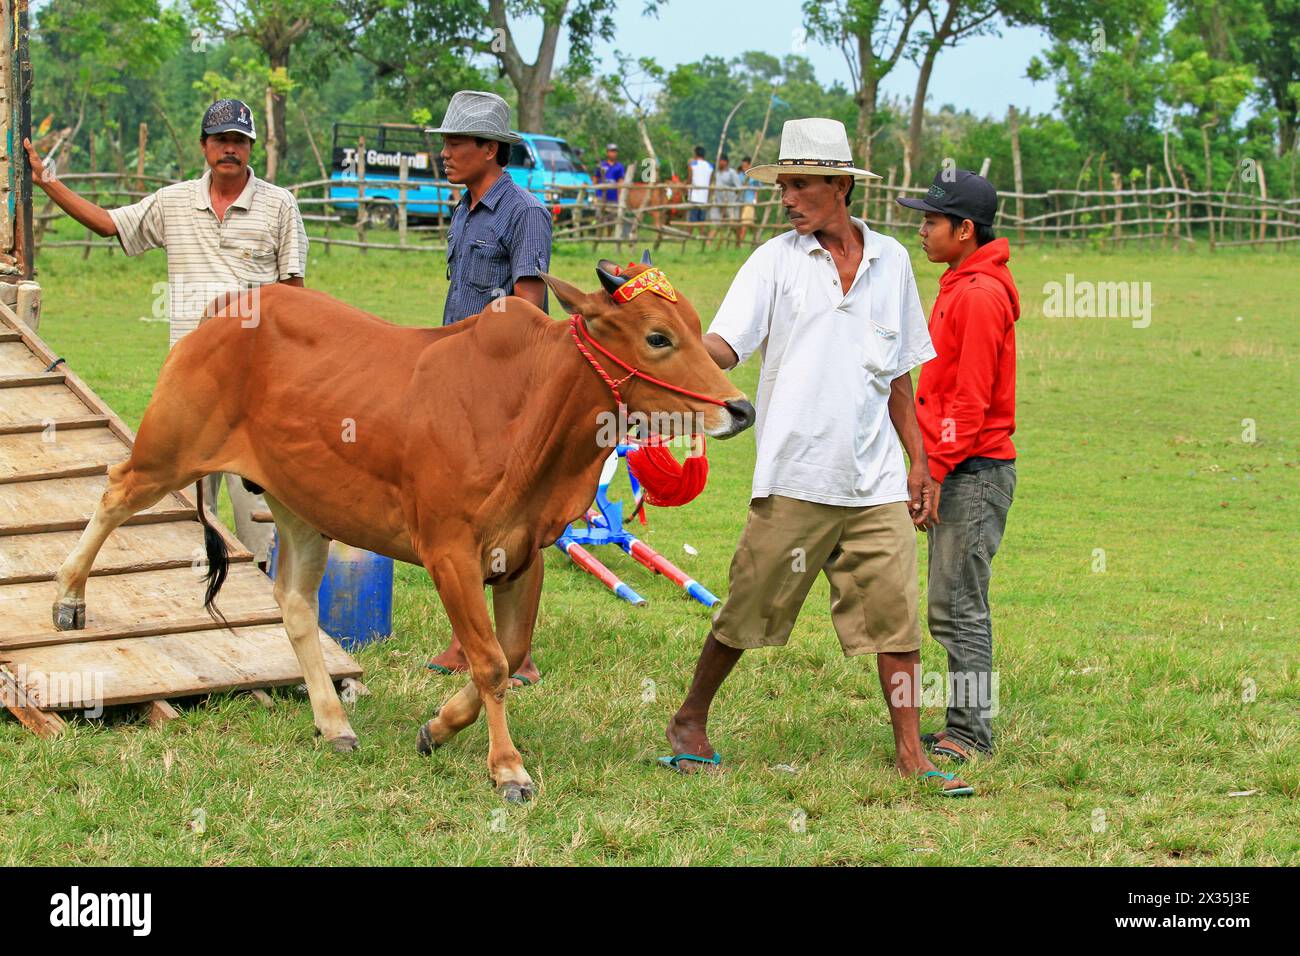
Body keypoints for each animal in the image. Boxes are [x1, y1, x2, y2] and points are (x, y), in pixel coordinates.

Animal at [49, 254, 754, 802]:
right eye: (658, 337)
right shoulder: (449, 553)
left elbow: (508, 655)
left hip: (302, 507)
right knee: (113, 490)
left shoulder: (525, 556)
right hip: (168, 454)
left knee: (295, 604)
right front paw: (507, 768)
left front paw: (438, 728)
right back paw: (68, 597)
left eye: (696, 328)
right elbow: (490, 661)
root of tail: (224, 309)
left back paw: (333, 722)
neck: (529, 409)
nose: (741, 409)